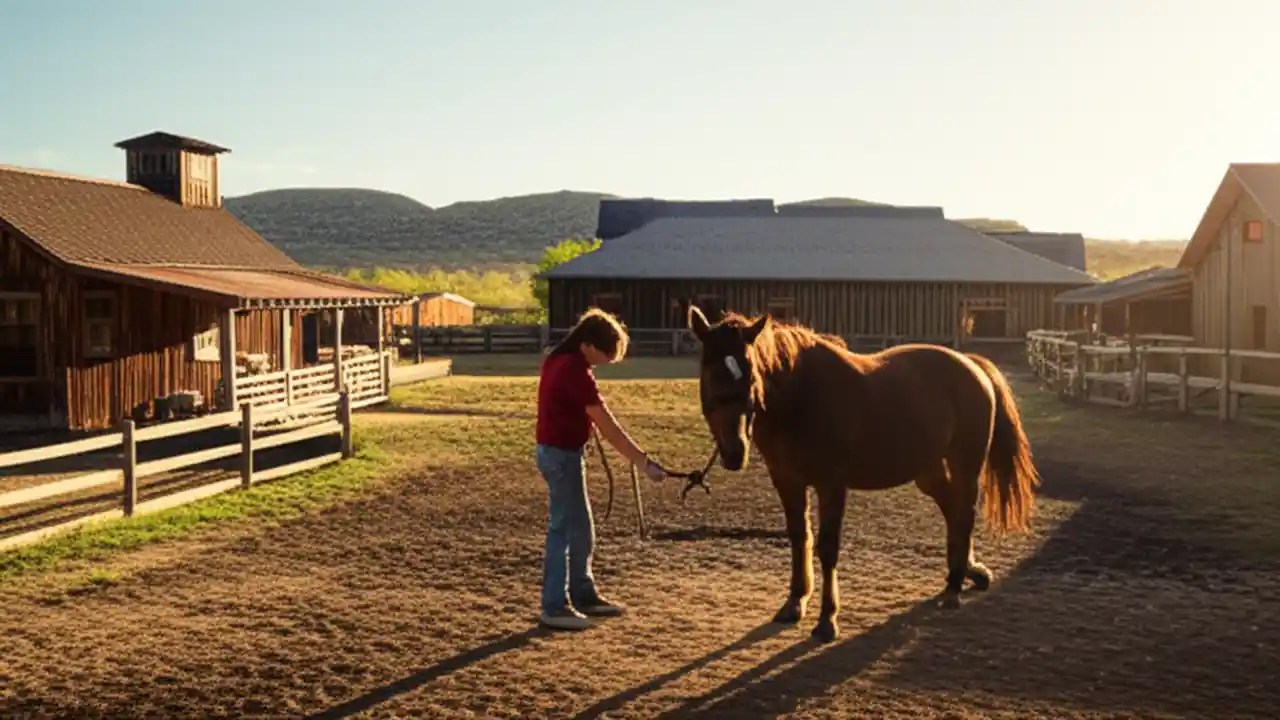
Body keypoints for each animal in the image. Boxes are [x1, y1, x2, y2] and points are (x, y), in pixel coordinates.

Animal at [686, 306, 1041, 642]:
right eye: (710, 372)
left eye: (750, 375)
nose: (734, 452)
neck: (802, 397)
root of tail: (972, 365)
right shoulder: (788, 481)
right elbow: (799, 537)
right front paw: (795, 601)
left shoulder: (831, 485)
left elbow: (828, 547)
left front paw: (827, 620)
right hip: (928, 472)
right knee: (953, 511)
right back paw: (968, 571)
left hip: (965, 465)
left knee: (964, 514)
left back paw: (954, 588)